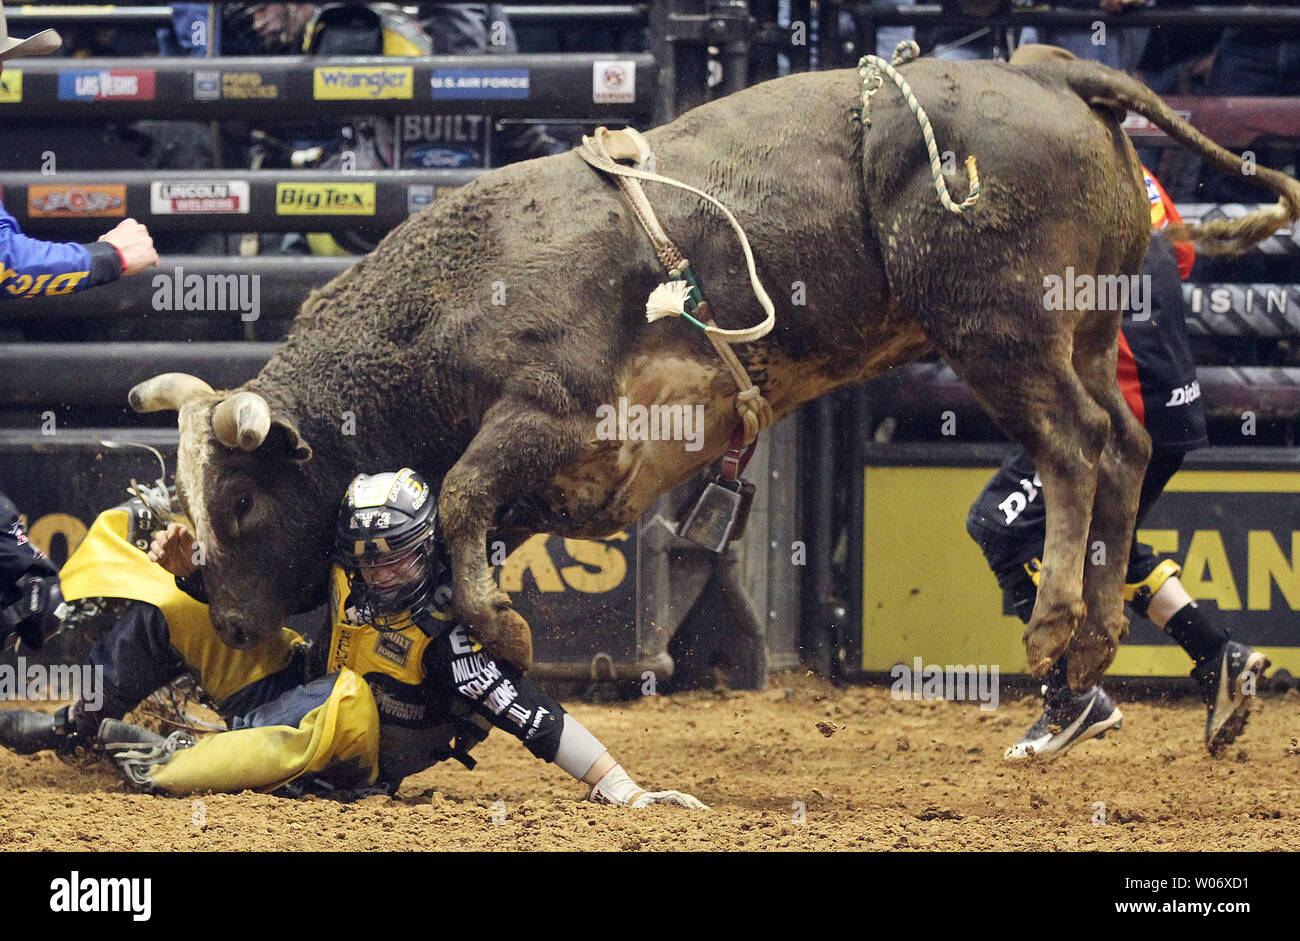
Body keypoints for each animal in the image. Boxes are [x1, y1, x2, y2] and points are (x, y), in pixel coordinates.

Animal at [129, 49, 1300, 691]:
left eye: (240, 500)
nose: (228, 625)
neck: (443, 304)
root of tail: (1051, 72)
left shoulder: (548, 409)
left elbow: (460, 491)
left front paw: (505, 626)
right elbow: (469, 526)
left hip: (997, 327)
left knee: (1075, 445)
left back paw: (1058, 621)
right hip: (1082, 328)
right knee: (1129, 445)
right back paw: (1097, 634)